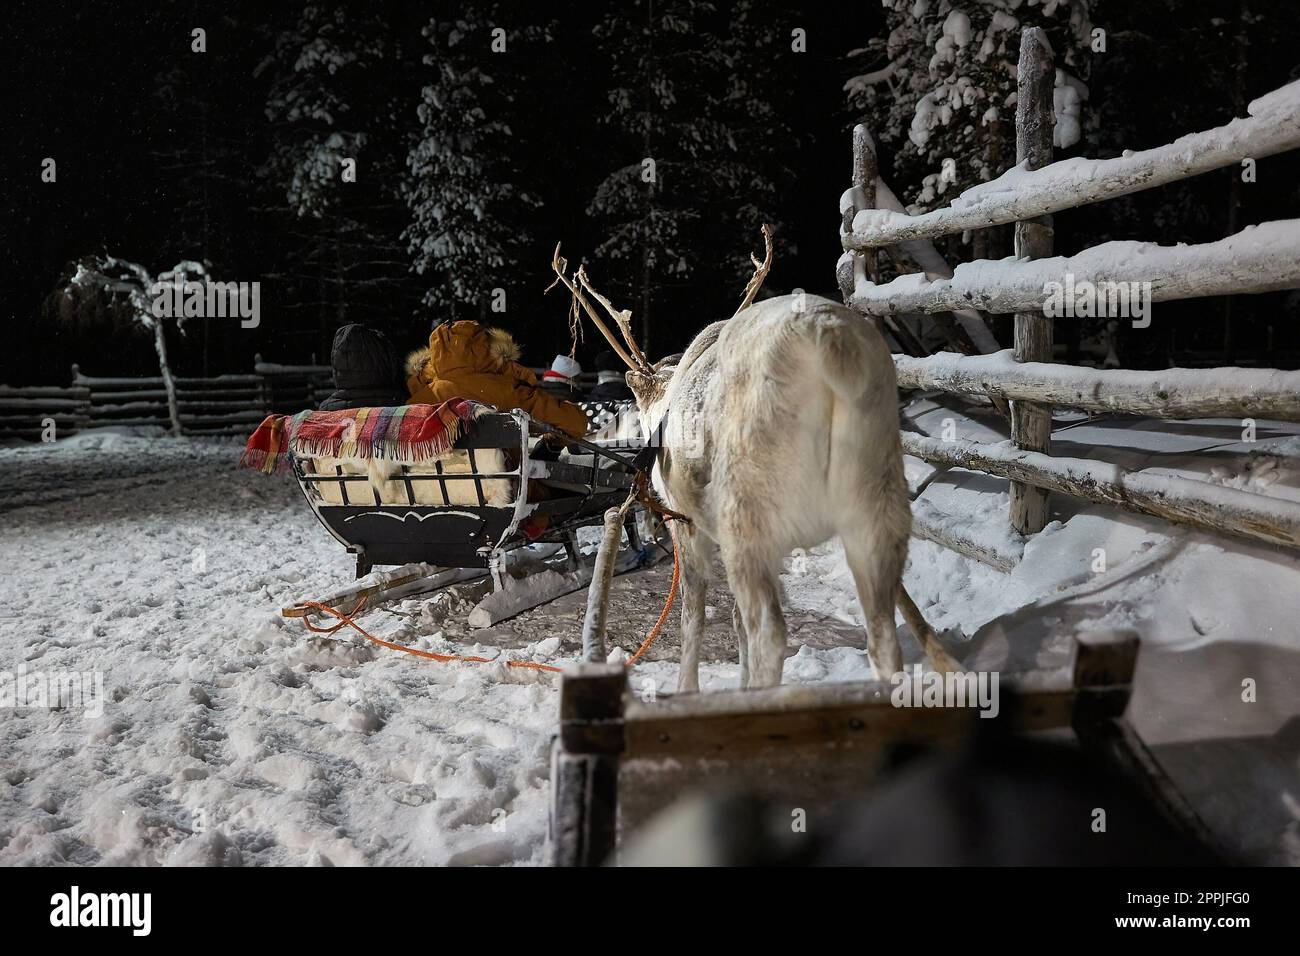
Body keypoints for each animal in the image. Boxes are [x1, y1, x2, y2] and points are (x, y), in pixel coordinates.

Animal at [549, 227, 959, 691]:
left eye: (627, 413)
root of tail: (828, 341)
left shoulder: (686, 522)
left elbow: (694, 616)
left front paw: (688, 689)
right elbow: (733, 619)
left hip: (748, 510)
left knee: (770, 633)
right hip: (875, 500)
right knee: (883, 634)